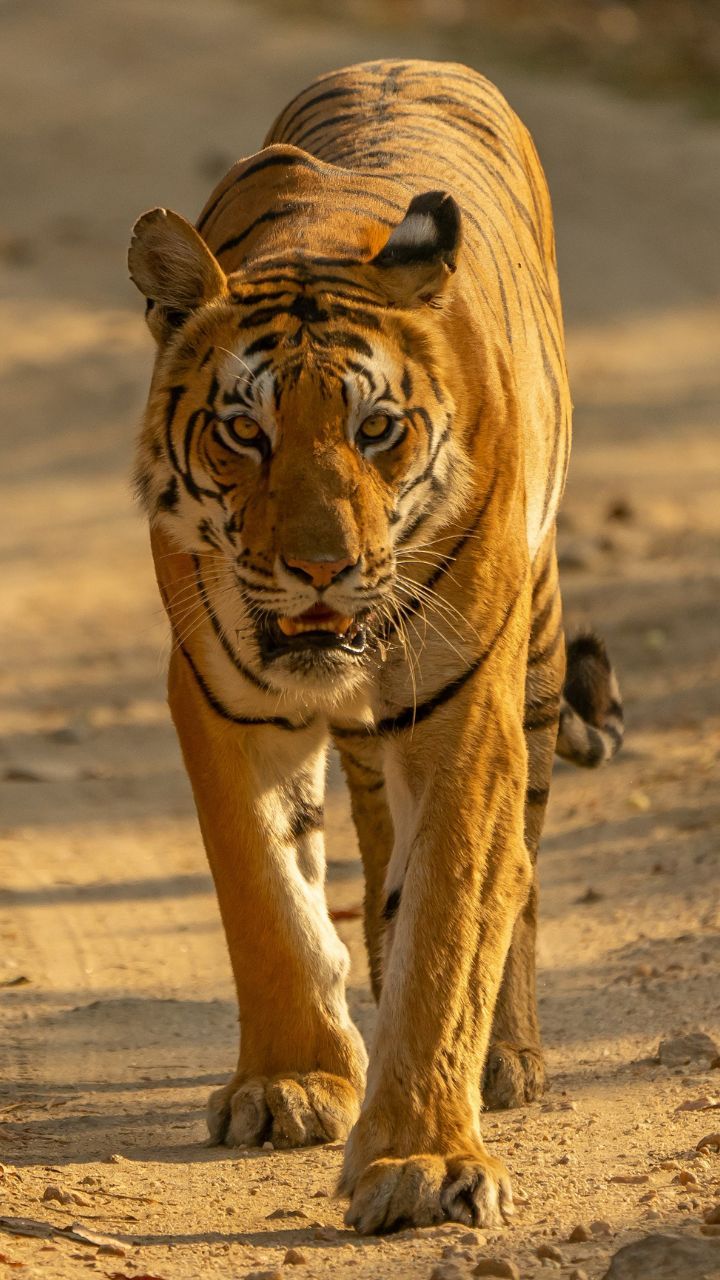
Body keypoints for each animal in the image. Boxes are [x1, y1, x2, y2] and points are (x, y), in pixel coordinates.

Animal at [128, 59, 623, 1234]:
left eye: (376, 429)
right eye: (244, 430)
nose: (320, 566)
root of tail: (414, 60)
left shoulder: (468, 716)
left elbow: (454, 915)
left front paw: (423, 1158)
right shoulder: (220, 698)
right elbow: (264, 891)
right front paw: (292, 1081)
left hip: (537, 658)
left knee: (519, 861)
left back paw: (508, 1058)